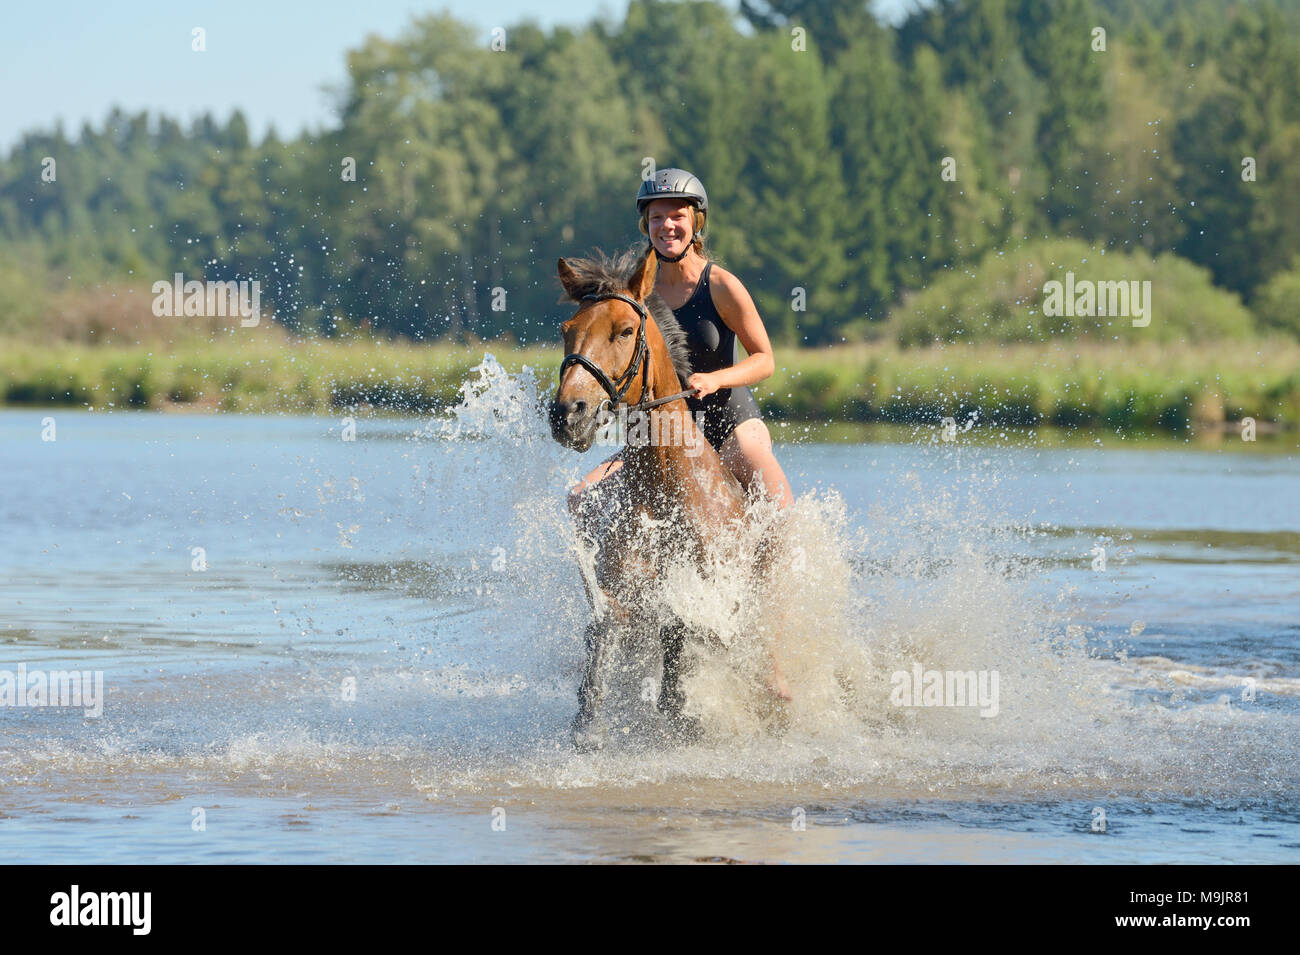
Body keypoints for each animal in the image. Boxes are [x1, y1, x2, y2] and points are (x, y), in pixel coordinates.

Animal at [549, 247, 752, 750]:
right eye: (566, 329)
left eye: (625, 330)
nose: (567, 414)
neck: (666, 486)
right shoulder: (618, 589)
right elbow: (604, 635)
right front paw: (588, 724)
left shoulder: (712, 601)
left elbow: (680, 634)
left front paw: (679, 711)